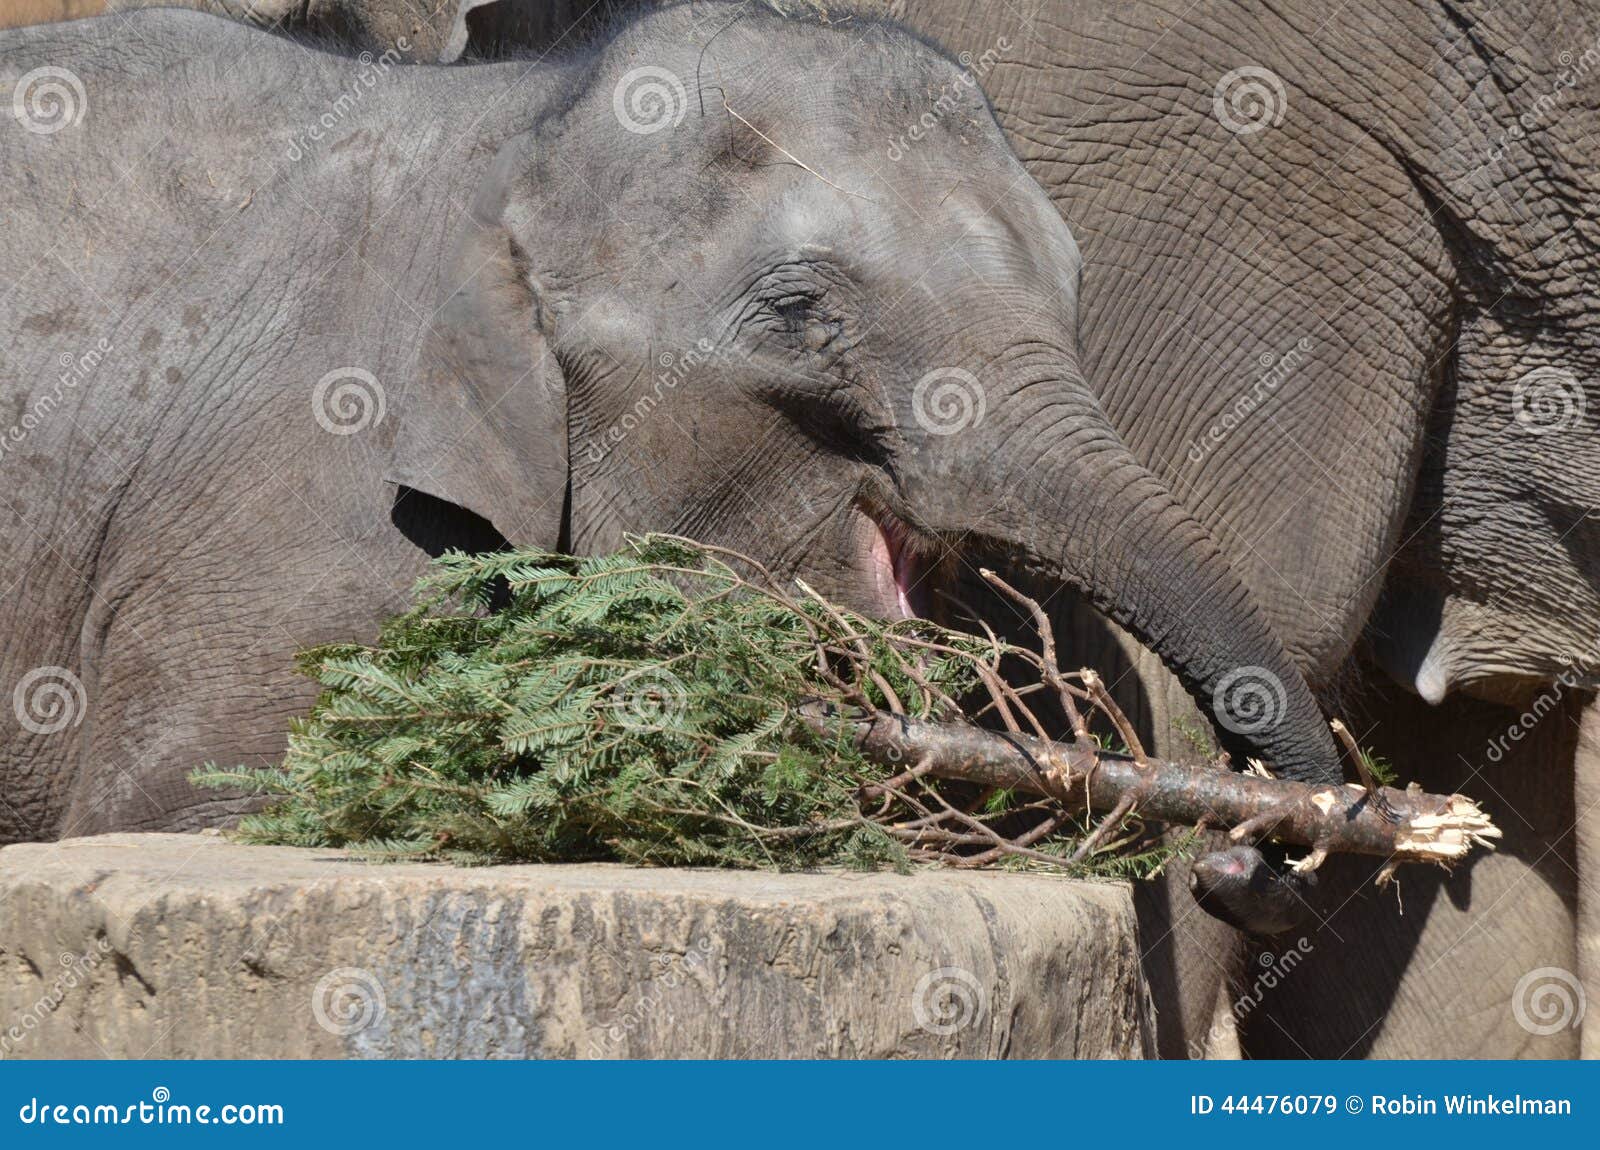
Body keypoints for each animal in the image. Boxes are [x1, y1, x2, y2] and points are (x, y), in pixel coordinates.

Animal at [0, 0, 1348, 934]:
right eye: (800, 313)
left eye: (1072, 284)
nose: (1251, 850)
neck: (514, 131)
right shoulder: (312, 504)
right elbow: (192, 804)